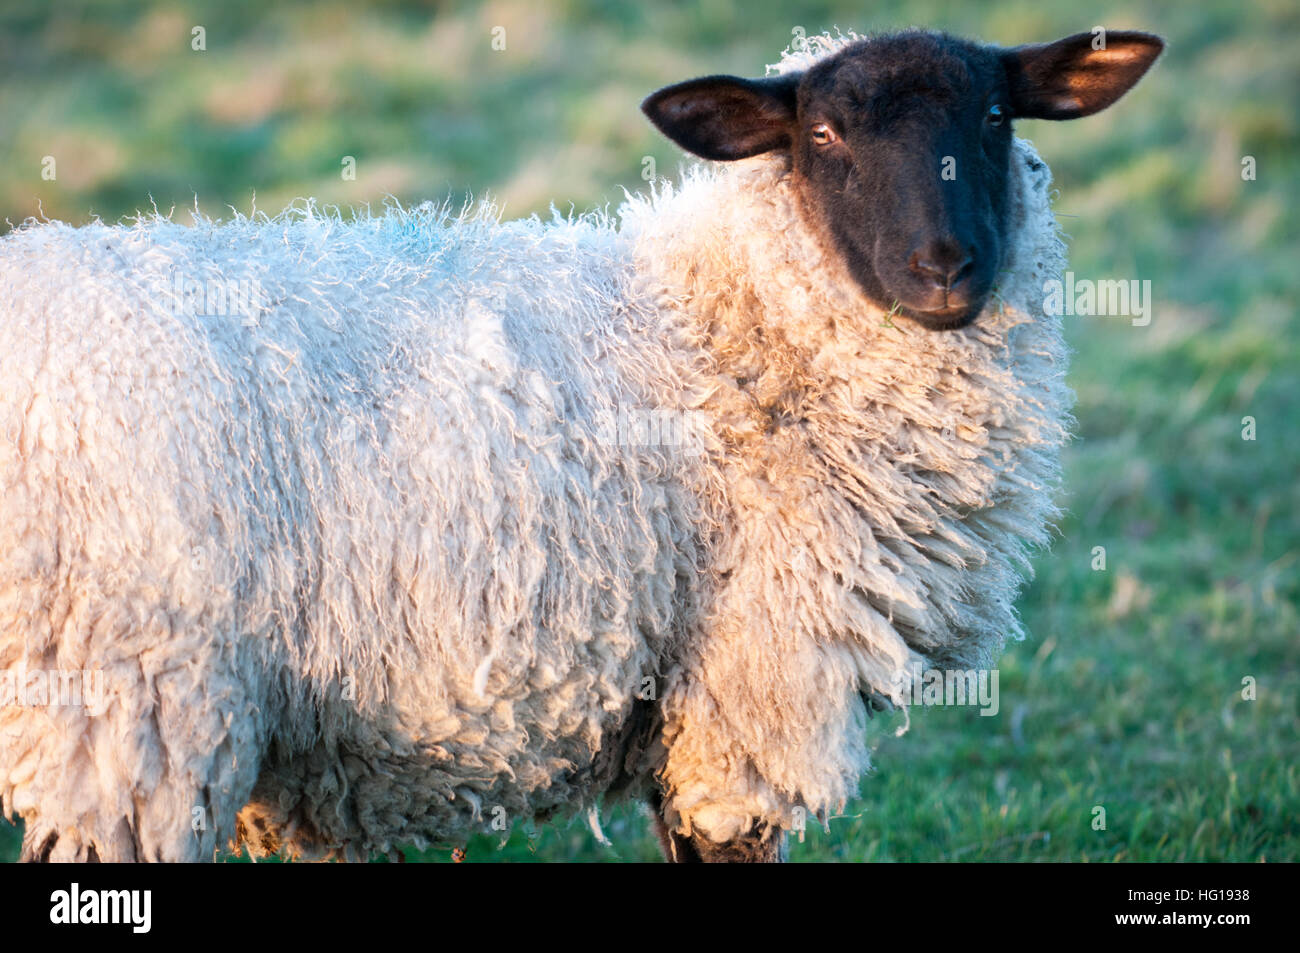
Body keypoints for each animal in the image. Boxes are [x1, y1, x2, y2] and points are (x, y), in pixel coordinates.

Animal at [0, 27, 1163, 863]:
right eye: (824, 138)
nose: (944, 268)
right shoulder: (747, 688)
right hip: (127, 712)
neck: (716, 325)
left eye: (996, 114)